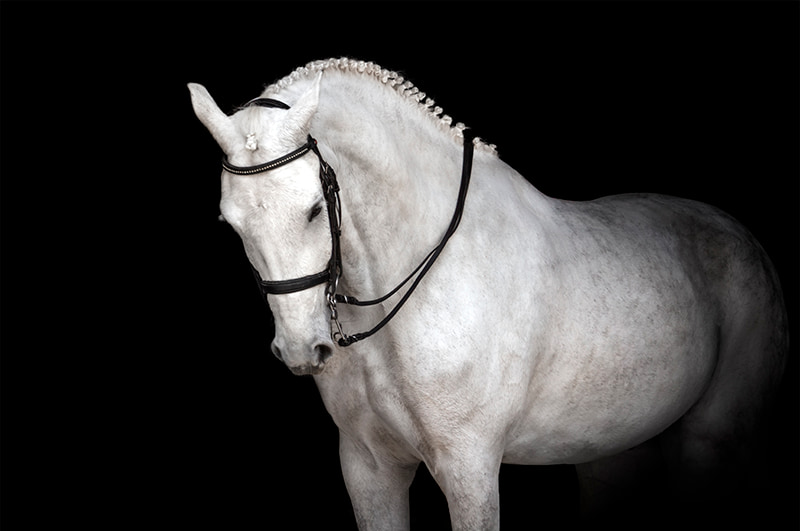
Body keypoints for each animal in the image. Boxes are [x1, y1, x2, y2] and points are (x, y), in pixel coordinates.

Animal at [189, 58, 788, 530]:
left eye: (315, 209)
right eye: (229, 223)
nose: (300, 350)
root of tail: (742, 236)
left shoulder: (469, 467)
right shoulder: (369, 469)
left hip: (712, 443)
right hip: (613, 449)